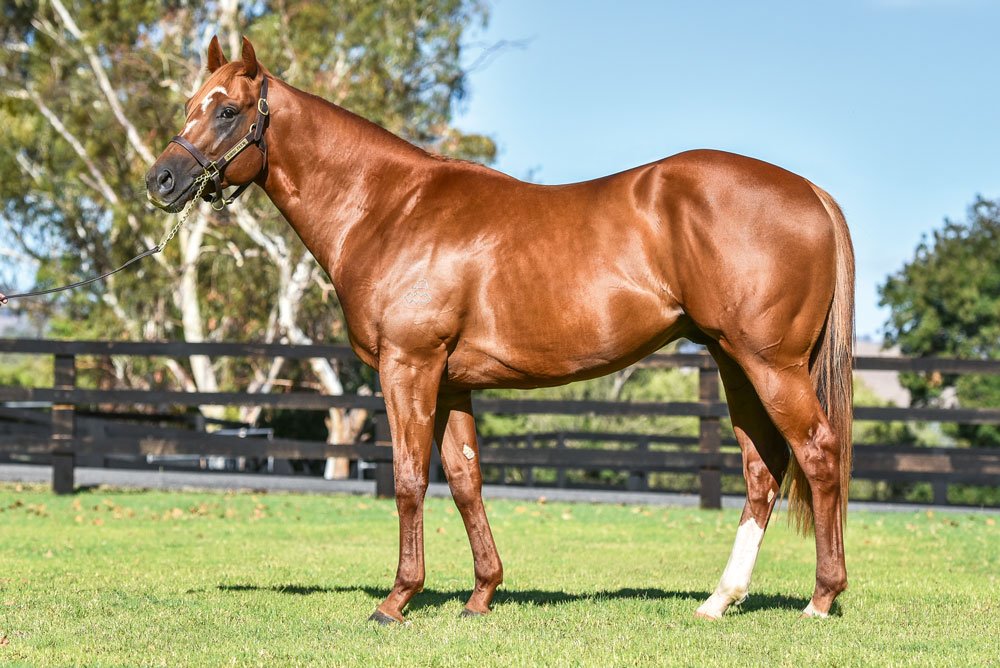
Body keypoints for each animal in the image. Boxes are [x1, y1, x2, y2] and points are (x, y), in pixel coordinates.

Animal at [147, 36, 854, 624]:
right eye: (188, 105)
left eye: (228, 111)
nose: (162, 179)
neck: (389, 207)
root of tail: (812, 193)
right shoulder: (452, 382)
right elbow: (465, 481)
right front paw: (482, 595)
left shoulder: (409, 367)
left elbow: (409, 478)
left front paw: (396, 601)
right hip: (734, 363)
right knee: (763, 471)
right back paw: (719, 600)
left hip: (770, 364)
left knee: (818, 453)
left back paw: (821, 599)